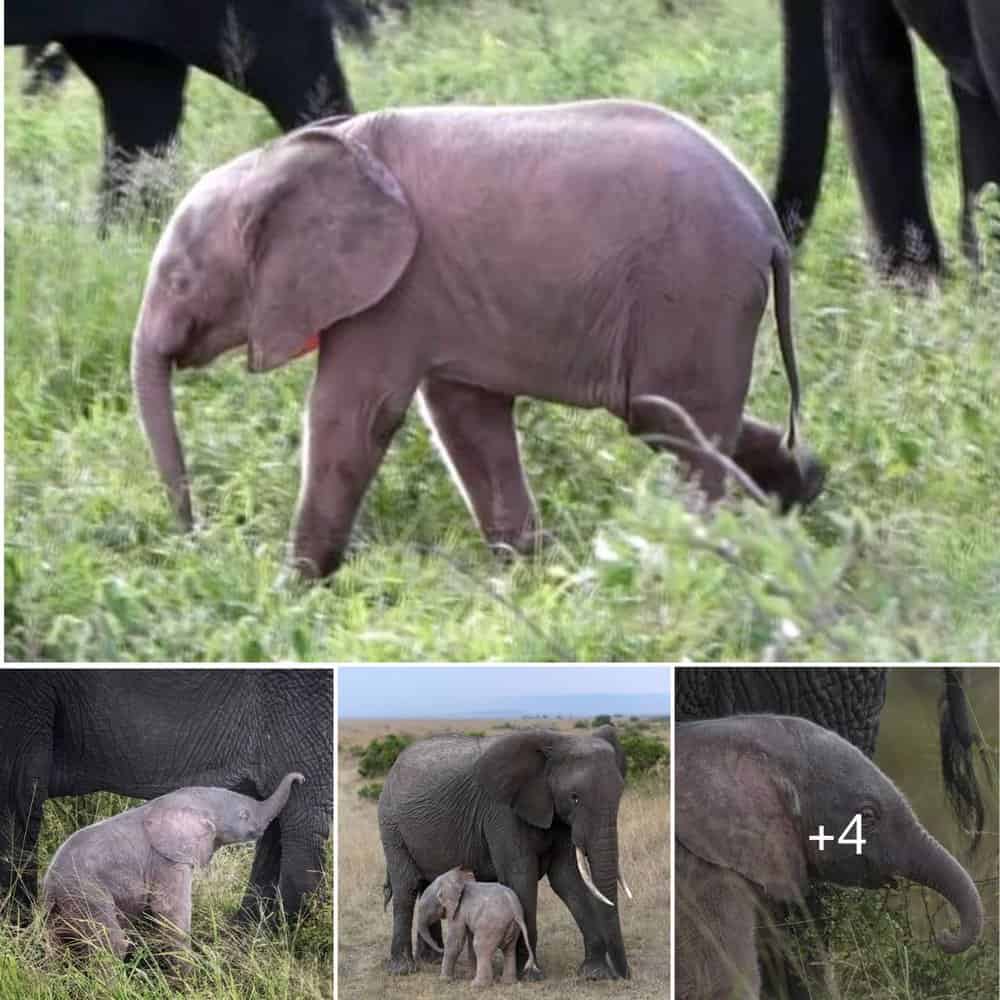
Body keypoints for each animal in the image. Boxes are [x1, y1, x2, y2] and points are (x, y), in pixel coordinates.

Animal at [43, 773, 304, 959]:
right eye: (244, 815)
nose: (300, 779)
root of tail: (49, 885)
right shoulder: (166, 859)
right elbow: (169, 913)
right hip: (84, 891)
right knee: (112, 945)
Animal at [130, 99, 826, 581]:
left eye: (180, 279)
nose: (194, 539)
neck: (284, 157)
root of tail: (768, 225)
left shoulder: (395, 290)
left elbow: (351, 417)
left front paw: (291, 592)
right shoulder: (429, 296)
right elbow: (463, 418)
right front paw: (527, 577)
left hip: (692, 287)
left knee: (670, 423)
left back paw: (690, 565)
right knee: (685, 422)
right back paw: (802, 495)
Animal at [378, 726, 632, 980]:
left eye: (620, 793)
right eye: (574, 797)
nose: (625, 975)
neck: (555, 742)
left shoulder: (558, 816)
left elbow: (567, 879)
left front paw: (595, 974)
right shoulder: (502, 812)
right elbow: (521, 877)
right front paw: (528, 974)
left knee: (427, 884)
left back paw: (432, 959)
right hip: (391, 824)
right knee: (407, 886)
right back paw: (403, 968)